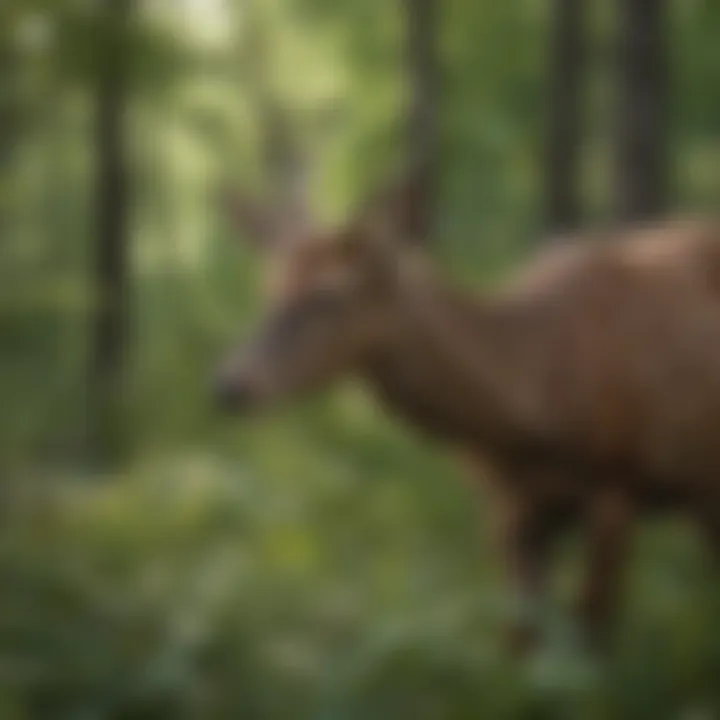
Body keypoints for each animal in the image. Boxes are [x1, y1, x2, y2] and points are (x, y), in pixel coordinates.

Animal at [214, 172, 720, 656]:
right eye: (267, 289)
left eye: (328, 297)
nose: (230, 386)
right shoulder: (510, 512)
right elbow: (520, 645)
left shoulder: (616, 484)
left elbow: (593, 643)